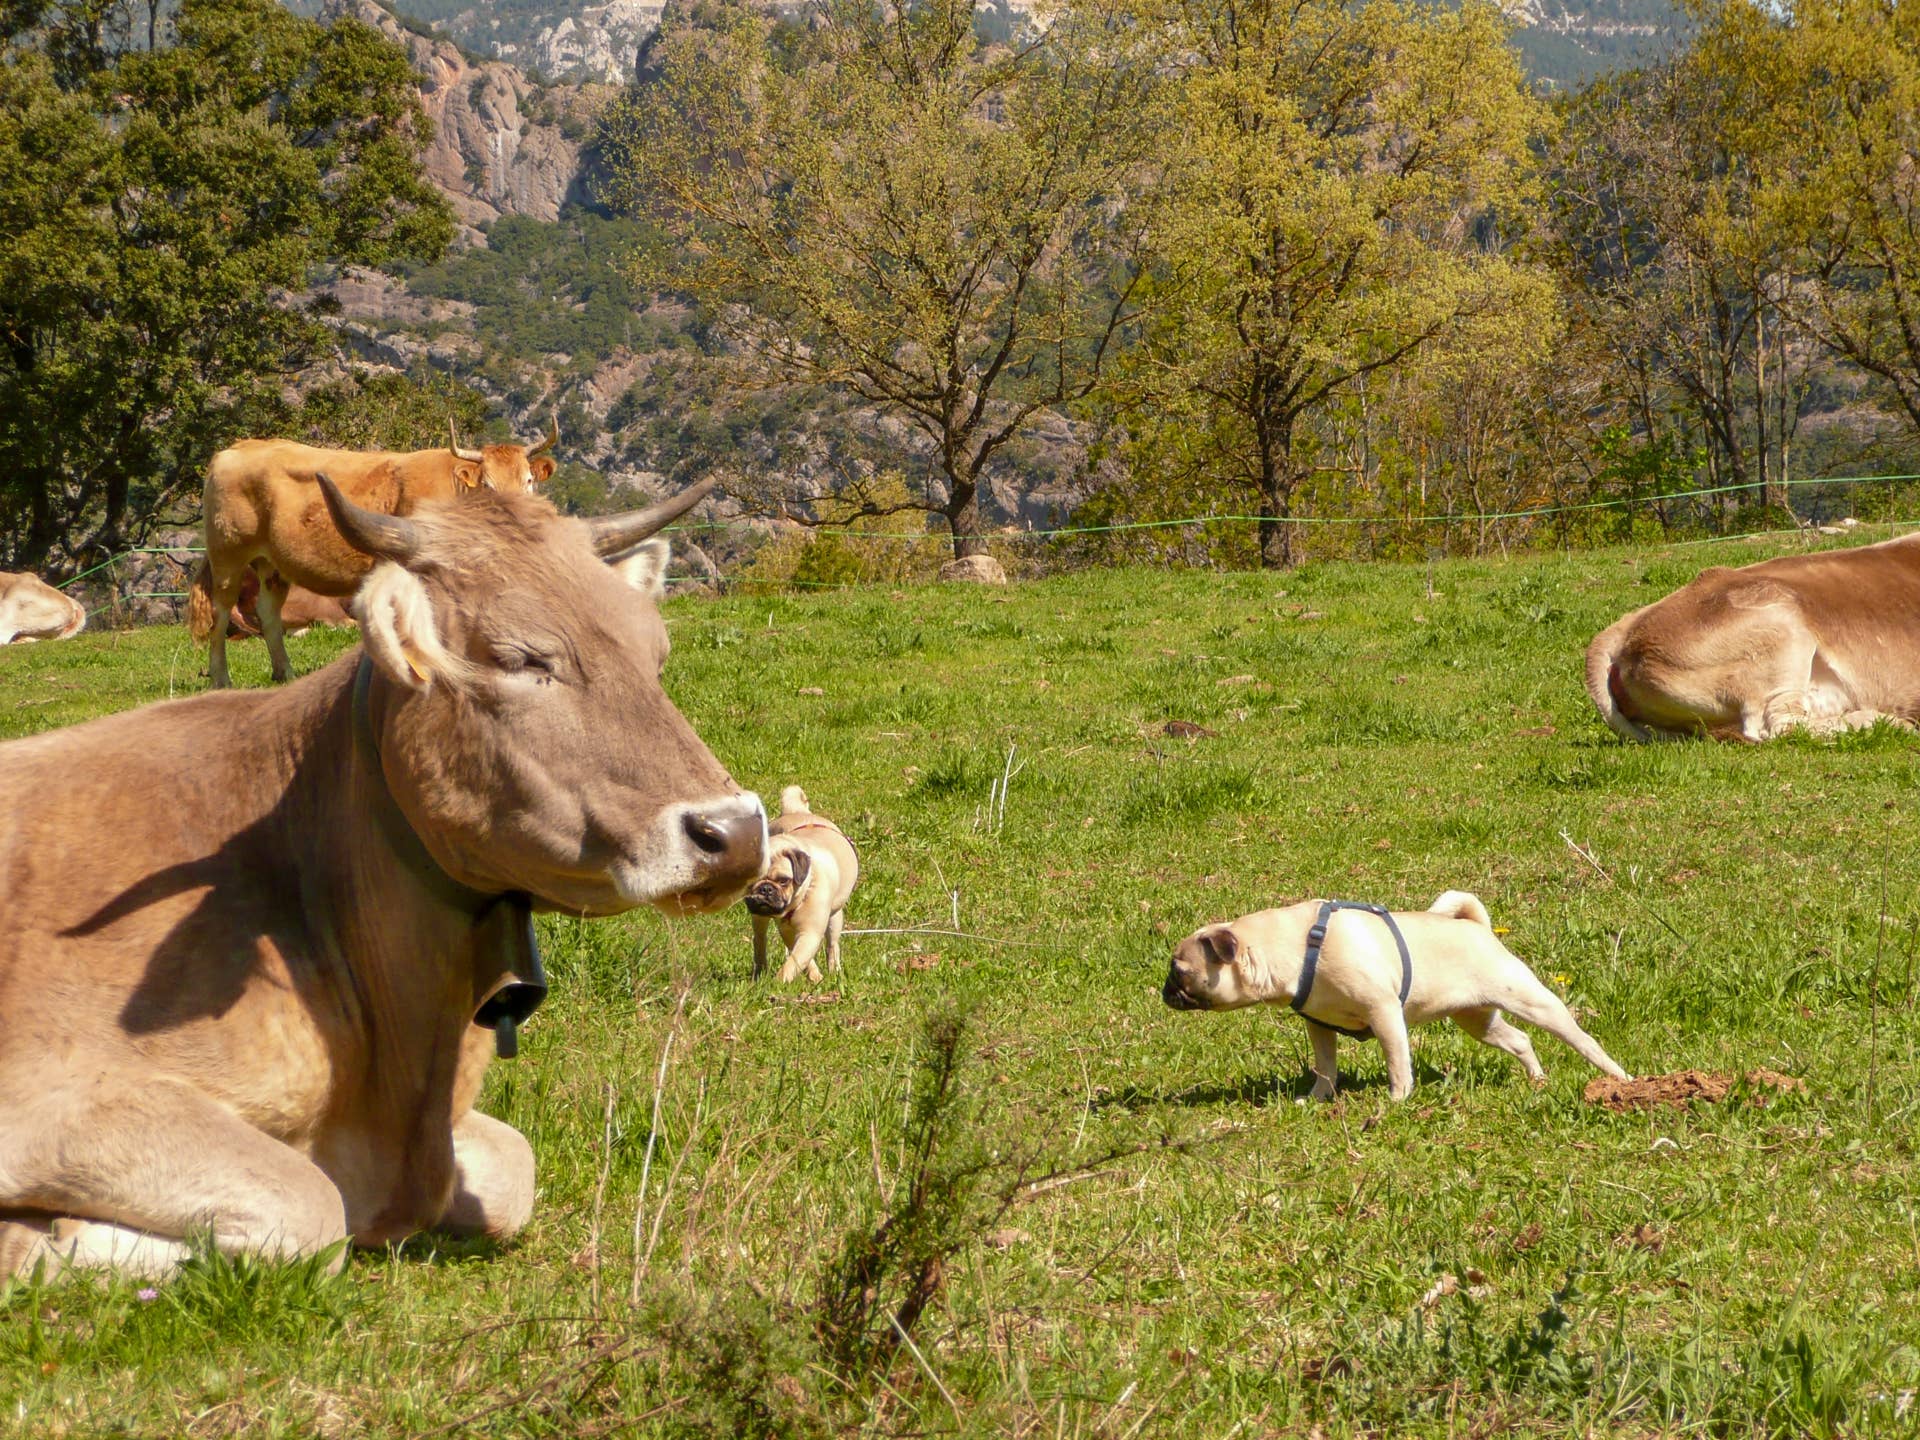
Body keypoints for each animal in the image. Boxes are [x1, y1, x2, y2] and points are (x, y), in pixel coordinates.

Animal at [0, 475, 768, 1280]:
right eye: (521, 658)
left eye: (656, 656)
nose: (736, 832)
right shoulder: (44, 1093)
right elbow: (309, 1208)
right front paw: (44, 1239)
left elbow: (511, 1167)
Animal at [190, 421, 558, 688]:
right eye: (487, 485)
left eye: (528, 480)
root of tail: (237, 448)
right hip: (228, 556)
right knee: (220, 614)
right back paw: (221, 679)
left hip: (270, 565)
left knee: (268, 614)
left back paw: (285, 674)